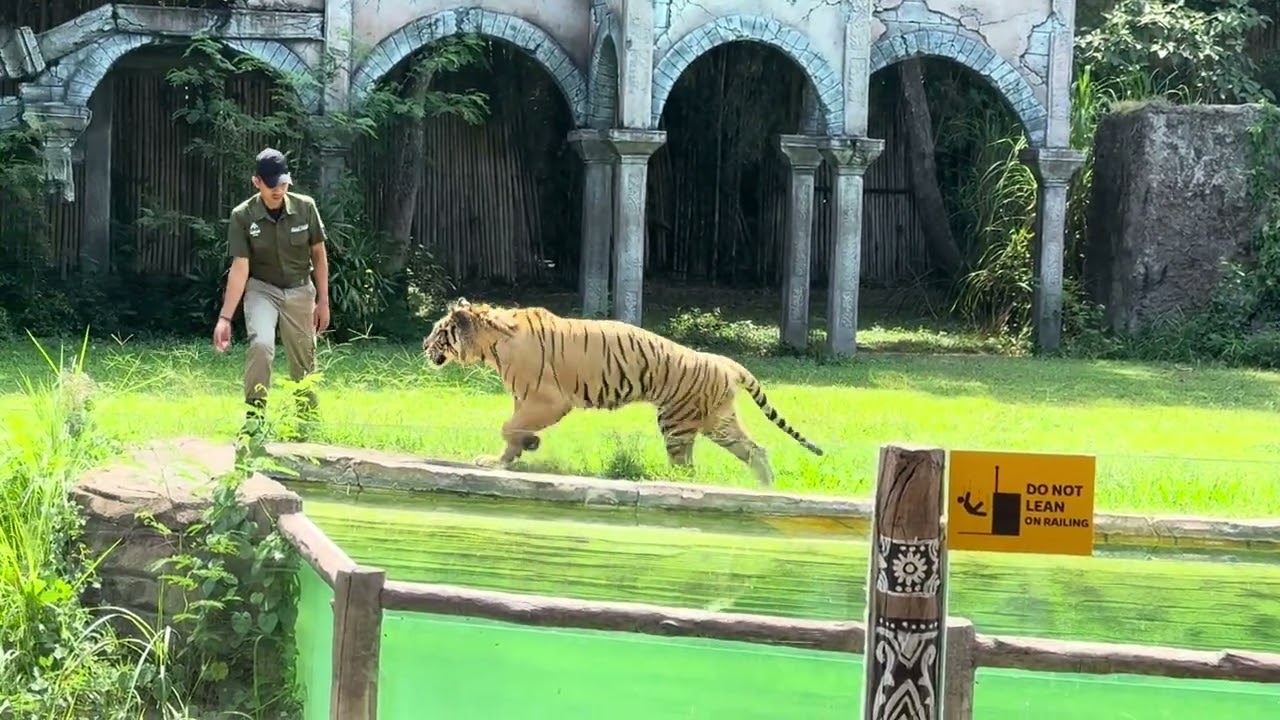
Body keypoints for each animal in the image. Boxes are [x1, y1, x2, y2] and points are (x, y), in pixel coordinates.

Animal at [421, 297, 824, 486]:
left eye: (439, 331)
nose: (424, 346)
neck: (490, 344)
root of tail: (725, 363)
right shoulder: (524, 399)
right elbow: (511, 430)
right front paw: (505, 459)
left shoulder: (549, 400)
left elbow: (509, 426)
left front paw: (526, 446)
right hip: (716, 420)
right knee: (755, 449)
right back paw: (768, 487)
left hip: (677, 422)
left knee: (685, 466)